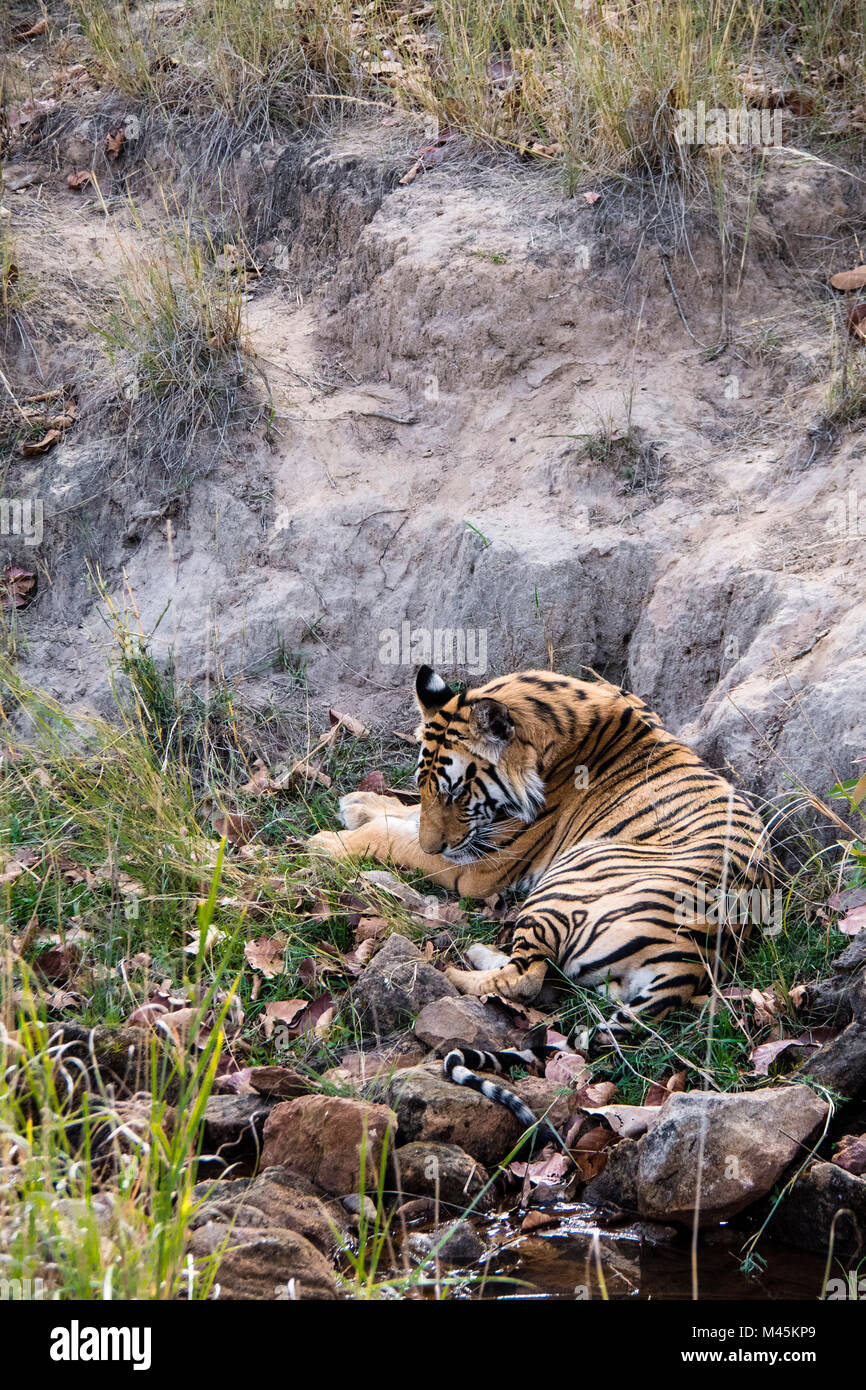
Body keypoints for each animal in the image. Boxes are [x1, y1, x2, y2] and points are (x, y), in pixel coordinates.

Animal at [309, 665, 771, 1121]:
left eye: (456, 793)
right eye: (423, 786)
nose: (434, 846)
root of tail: (691, 958)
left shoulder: (482, 864)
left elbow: (396, 840)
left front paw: (328, 843)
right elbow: (403, 818)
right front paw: (359, 804)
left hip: (565, 882)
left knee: (524, 978)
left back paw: (453, 971)